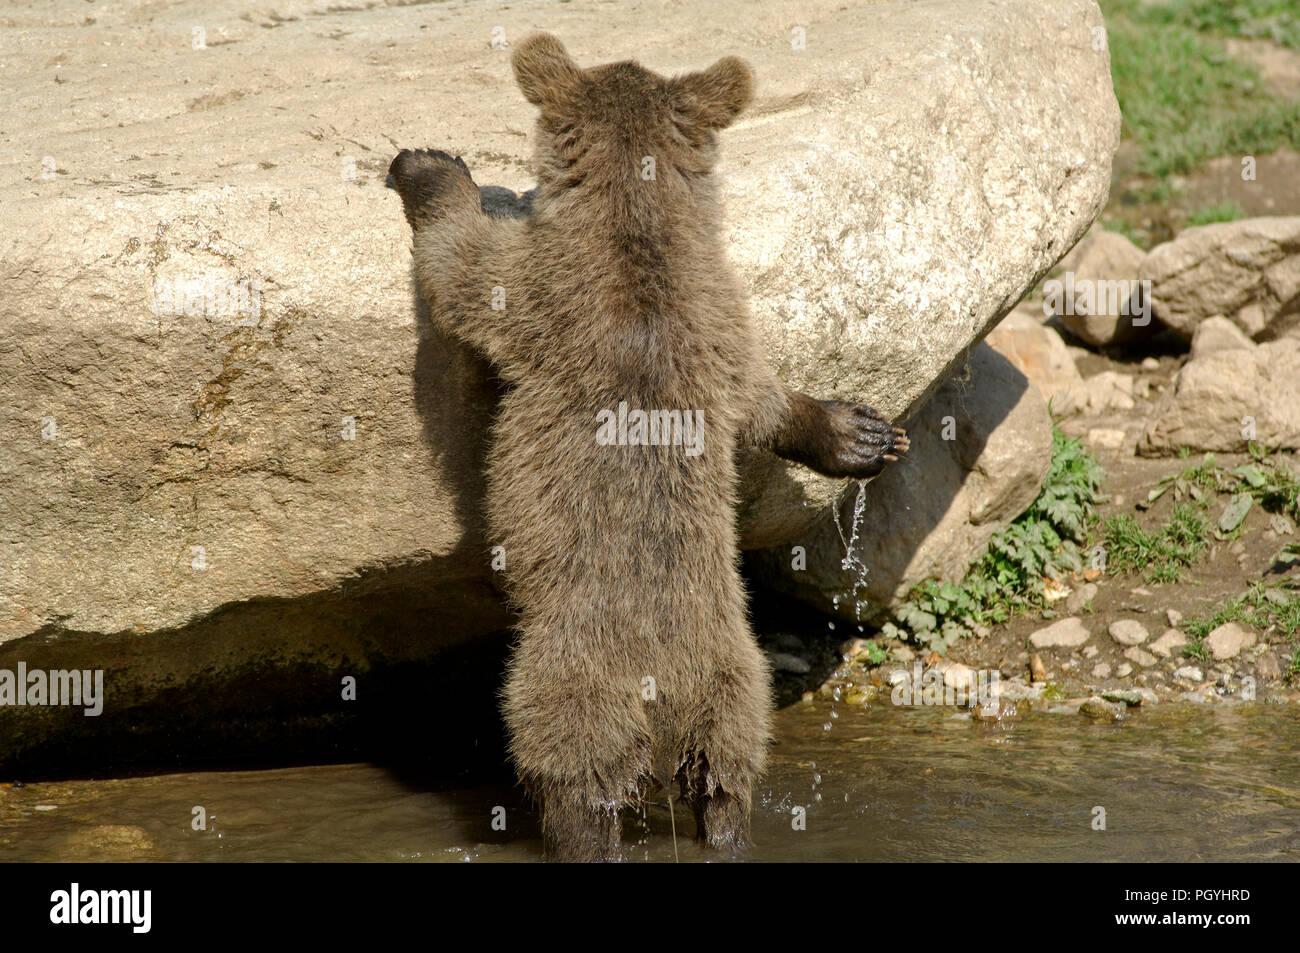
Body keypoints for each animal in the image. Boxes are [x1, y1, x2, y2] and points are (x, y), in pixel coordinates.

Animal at [387, 33, 907, 861]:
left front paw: (431, 165)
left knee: (568, 761)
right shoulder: (719, 321)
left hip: (571, 669)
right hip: (736, 675)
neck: (638, 220)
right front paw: (862, 431)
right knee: (730, 771)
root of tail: (666, 699)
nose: (874, 433)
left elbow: (459, 268)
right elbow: (763, 399)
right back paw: (727, 829)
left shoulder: (534, 289)